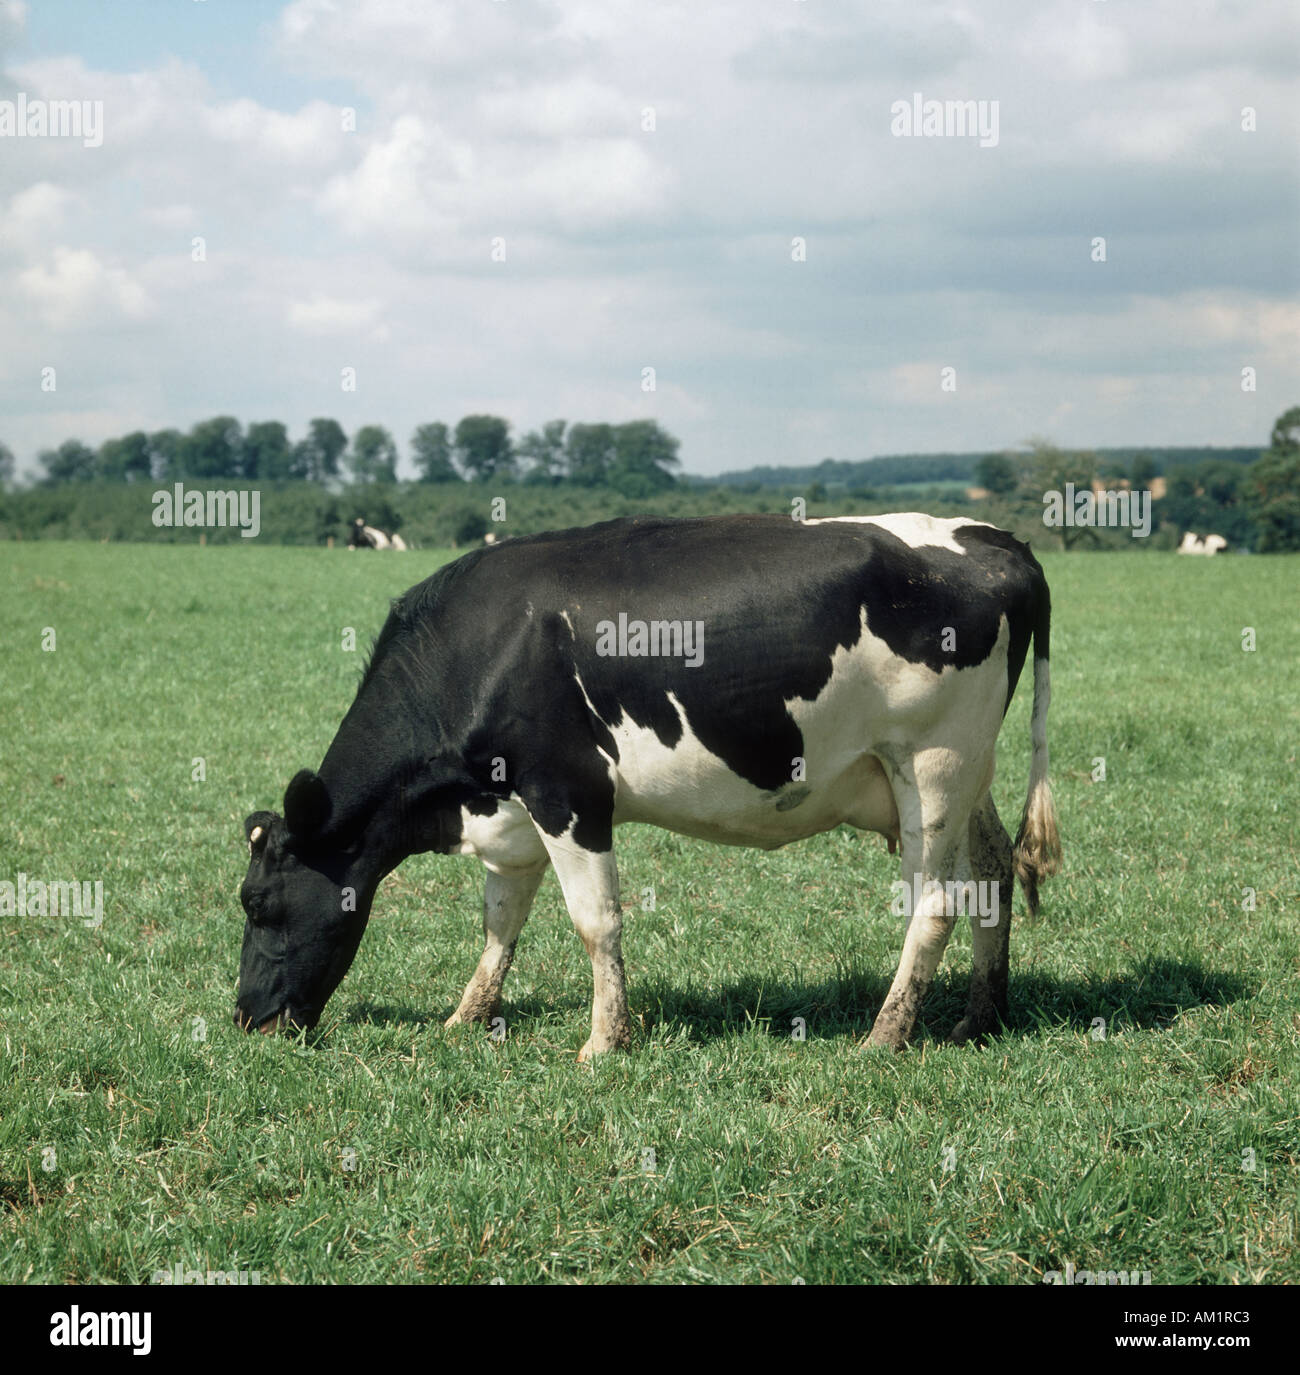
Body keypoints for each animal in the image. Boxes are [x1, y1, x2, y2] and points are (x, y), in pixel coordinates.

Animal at [235, 513, 1061, 1057]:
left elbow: (596, 921)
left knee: (936, 901)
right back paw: (981, 1015)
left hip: (934, 762)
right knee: (993, 867)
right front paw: (465, 1018)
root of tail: (1001, 543)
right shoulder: (510, 809)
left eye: (259, 903)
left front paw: (605, 1041)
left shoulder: (567, 792)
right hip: (963, 768)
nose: (246, 1015)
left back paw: (885, 1035)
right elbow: (500, 923)